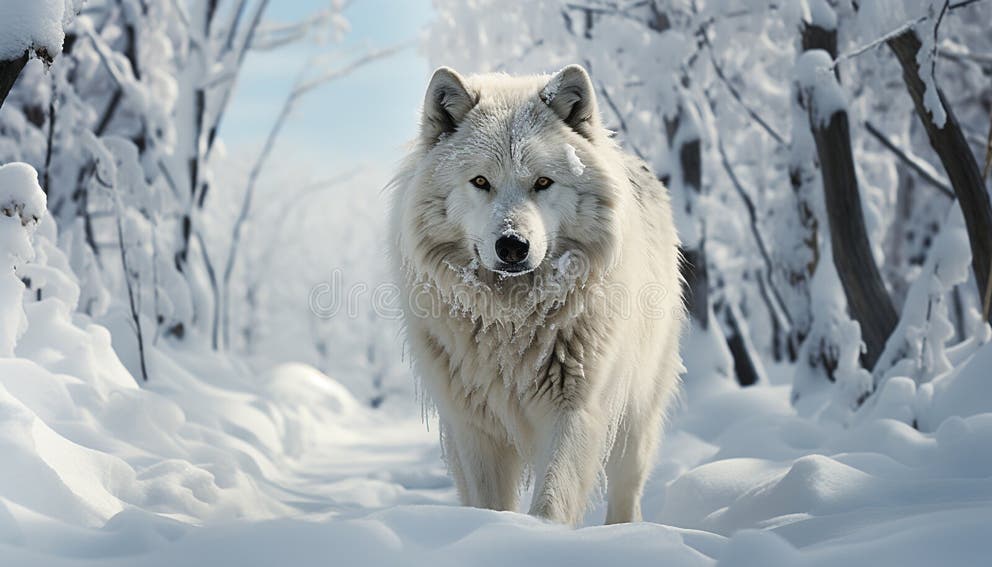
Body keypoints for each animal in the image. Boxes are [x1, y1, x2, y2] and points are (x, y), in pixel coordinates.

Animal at [388, 64, 684, 525]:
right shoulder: (474, 425)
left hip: (636, 415)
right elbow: (490, 502)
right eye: (480, 182)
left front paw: (540, 535)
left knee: (626, 489)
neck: (511, 320)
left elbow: (552, 499)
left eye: (543, 182)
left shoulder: (574, 409)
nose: (512, 245)